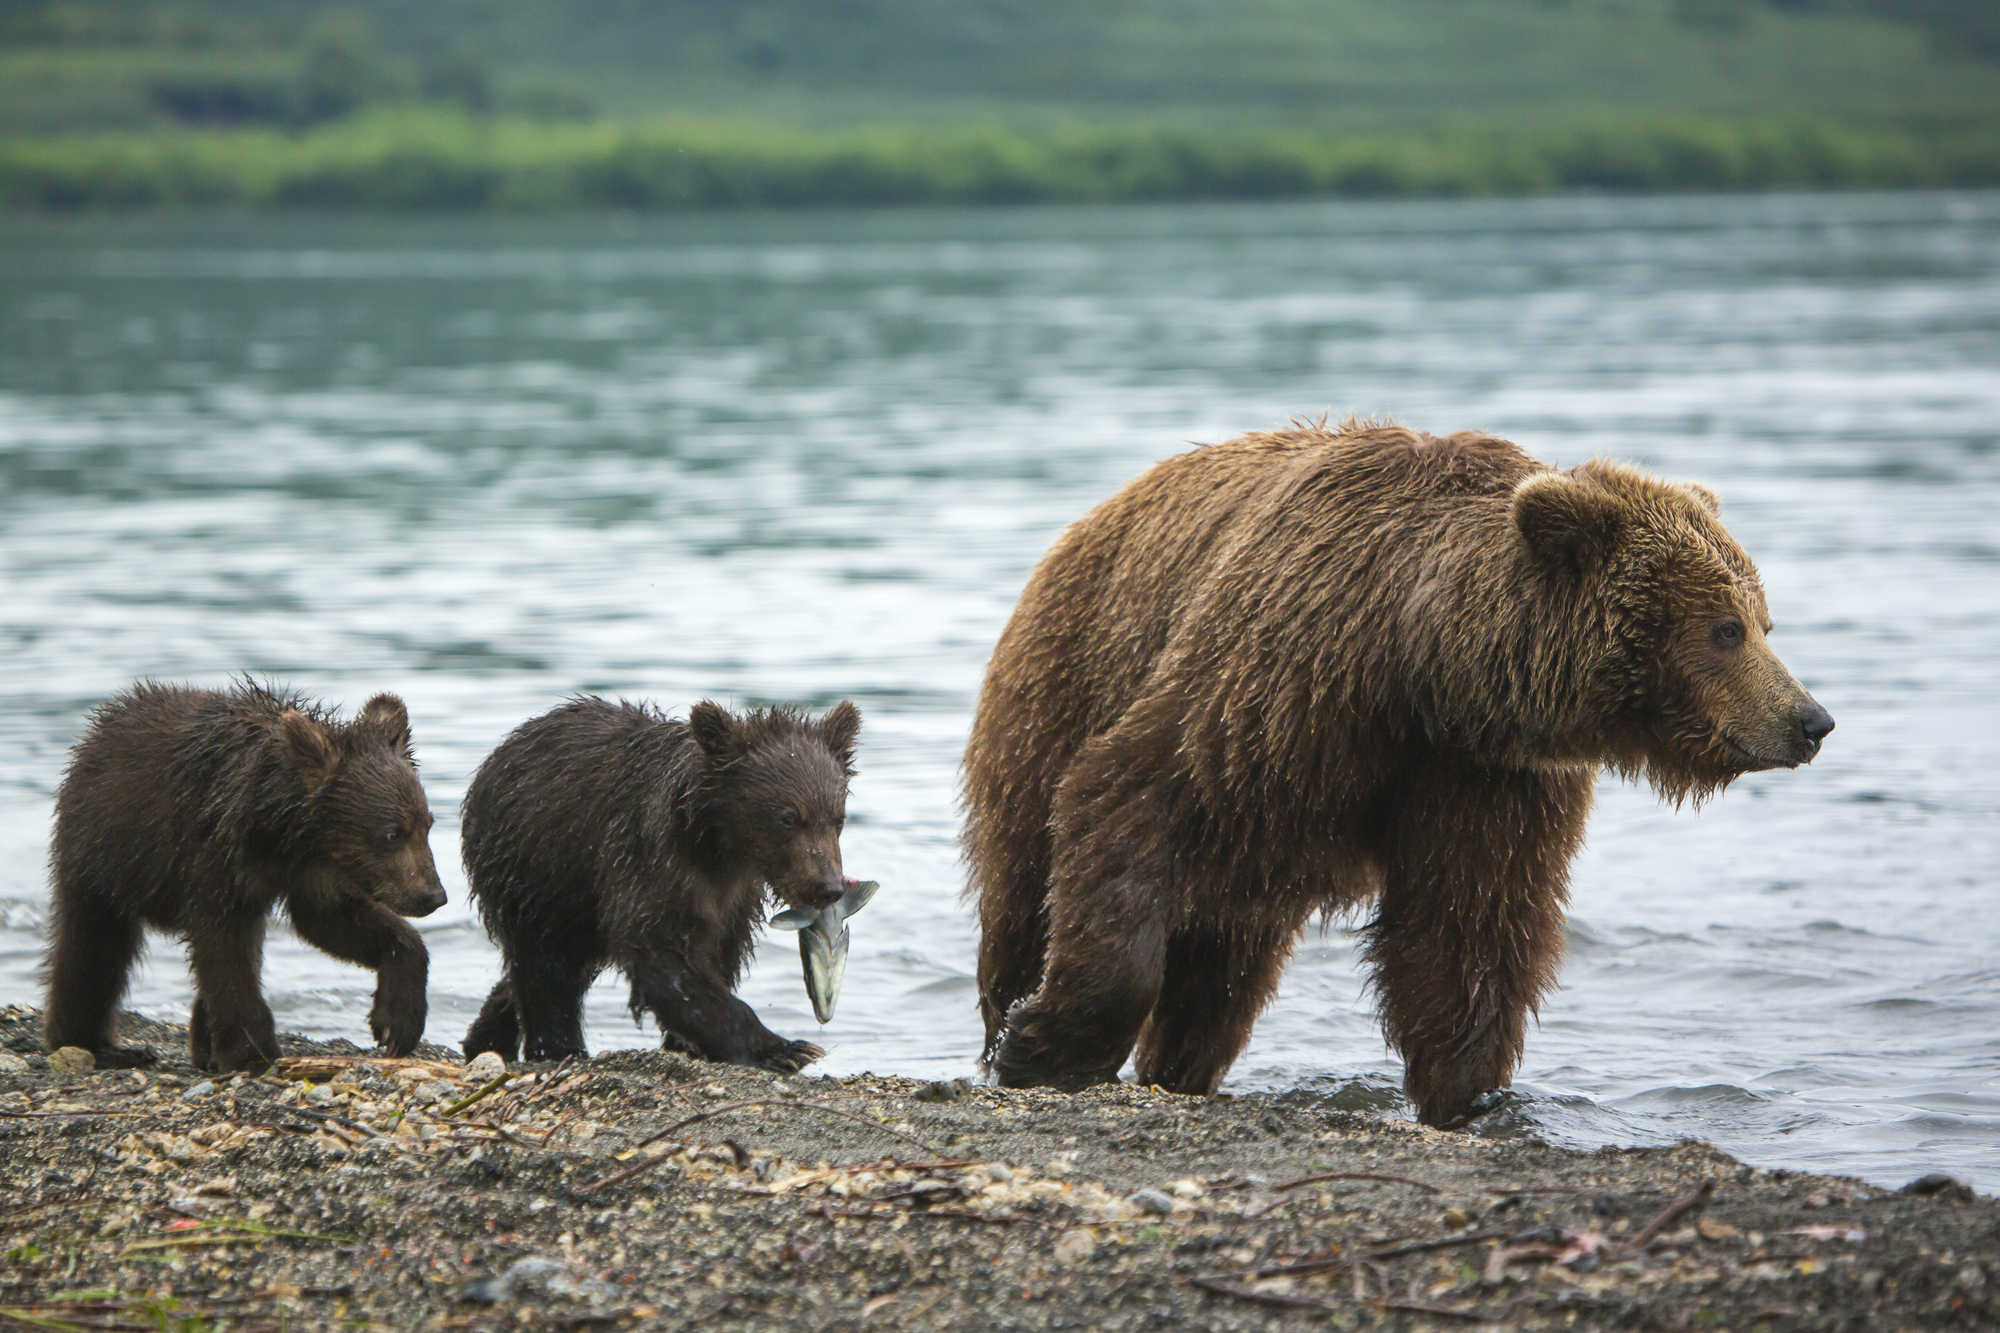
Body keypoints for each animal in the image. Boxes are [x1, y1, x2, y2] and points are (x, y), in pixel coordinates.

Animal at [960, 418, 1832, 1120]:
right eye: (1724, 628)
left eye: (1764, 620)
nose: (1809, 720)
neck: (1420, 662)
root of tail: (1088, 520)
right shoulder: (1275, 684)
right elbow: (1131, 793)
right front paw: (1041, 1044)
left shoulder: (1480, 771)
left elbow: (1467, 927)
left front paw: (1469, 1091)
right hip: (1063, 682)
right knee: (1025, 889)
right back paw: (1010, 1023)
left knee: (1224, 970)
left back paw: (1181, 1066)